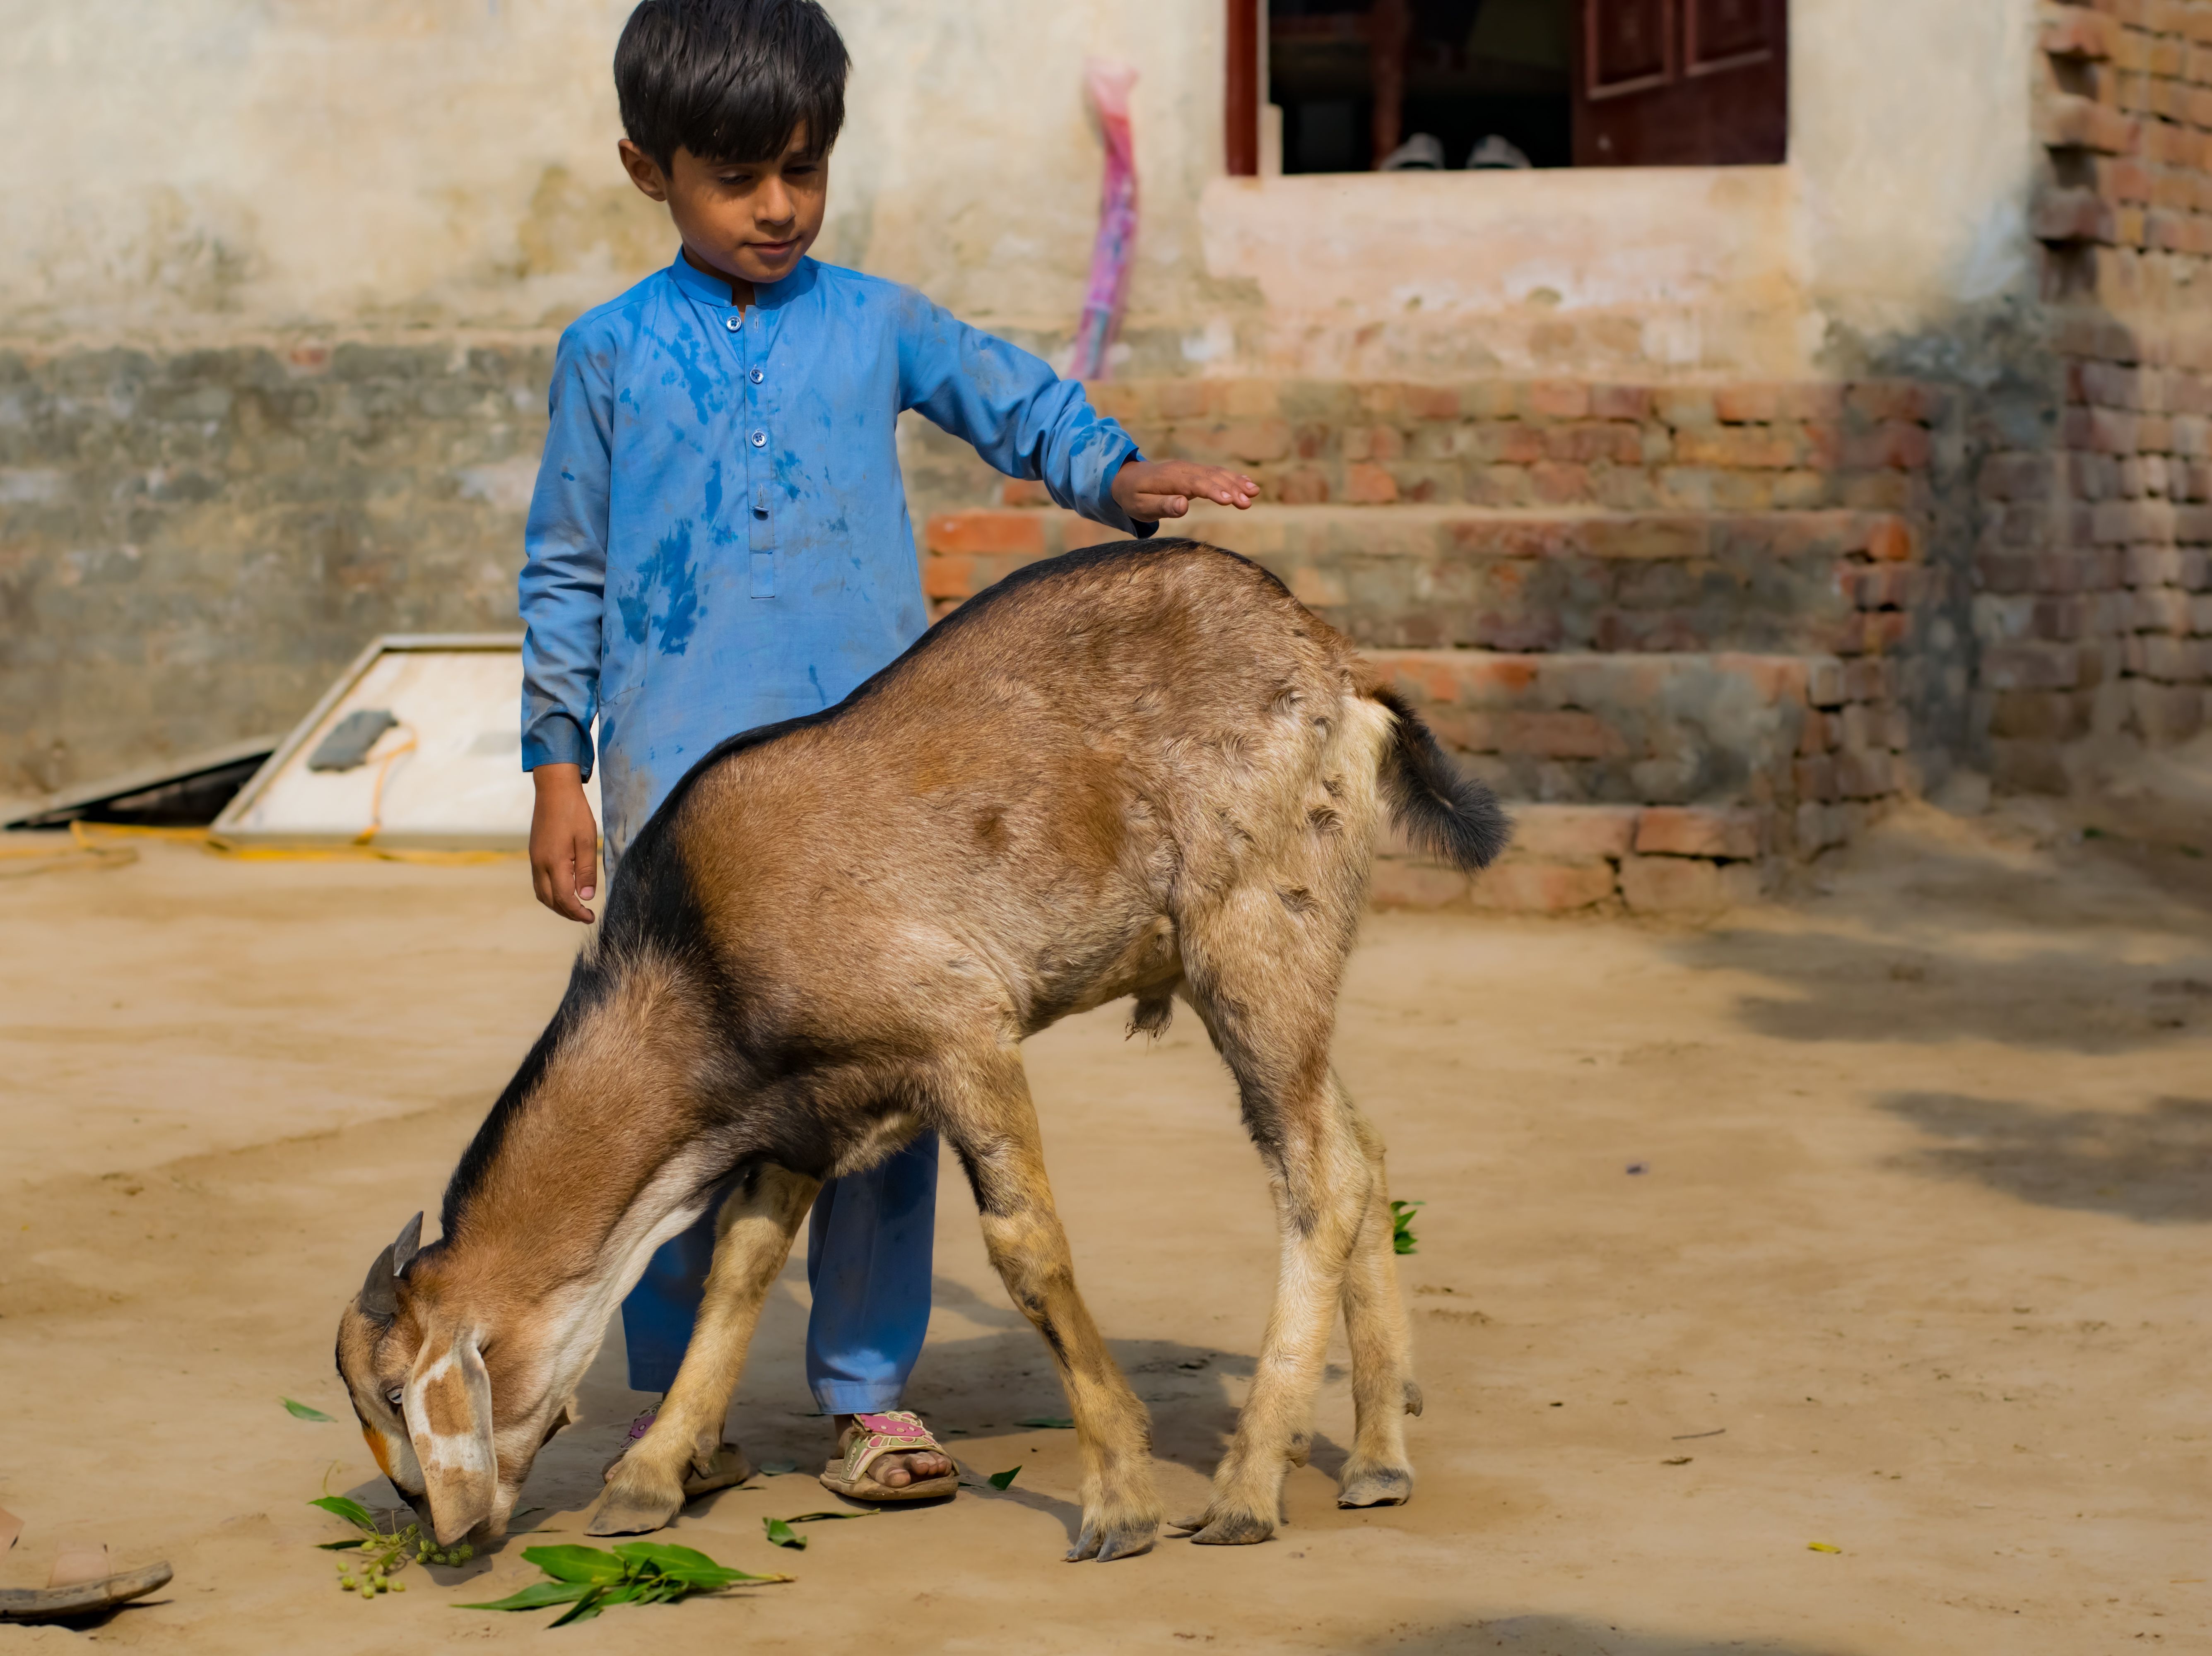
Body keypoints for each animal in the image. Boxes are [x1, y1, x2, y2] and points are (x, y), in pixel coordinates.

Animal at [335, 539, 1507, 1561]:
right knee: (1359, 1148)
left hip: (1257, 932)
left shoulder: (962, 1033)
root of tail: (1343, 677)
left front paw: (1120, 1501)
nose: (433, 1525)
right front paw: (650, 1477)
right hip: (1259, 967)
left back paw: (1248, 1490)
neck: (699, 961)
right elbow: (738, 1268)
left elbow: (1027, 1250)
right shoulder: (804, 1114)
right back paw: (1376, 1455)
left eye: (395, 1392)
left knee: (1317, 1177)